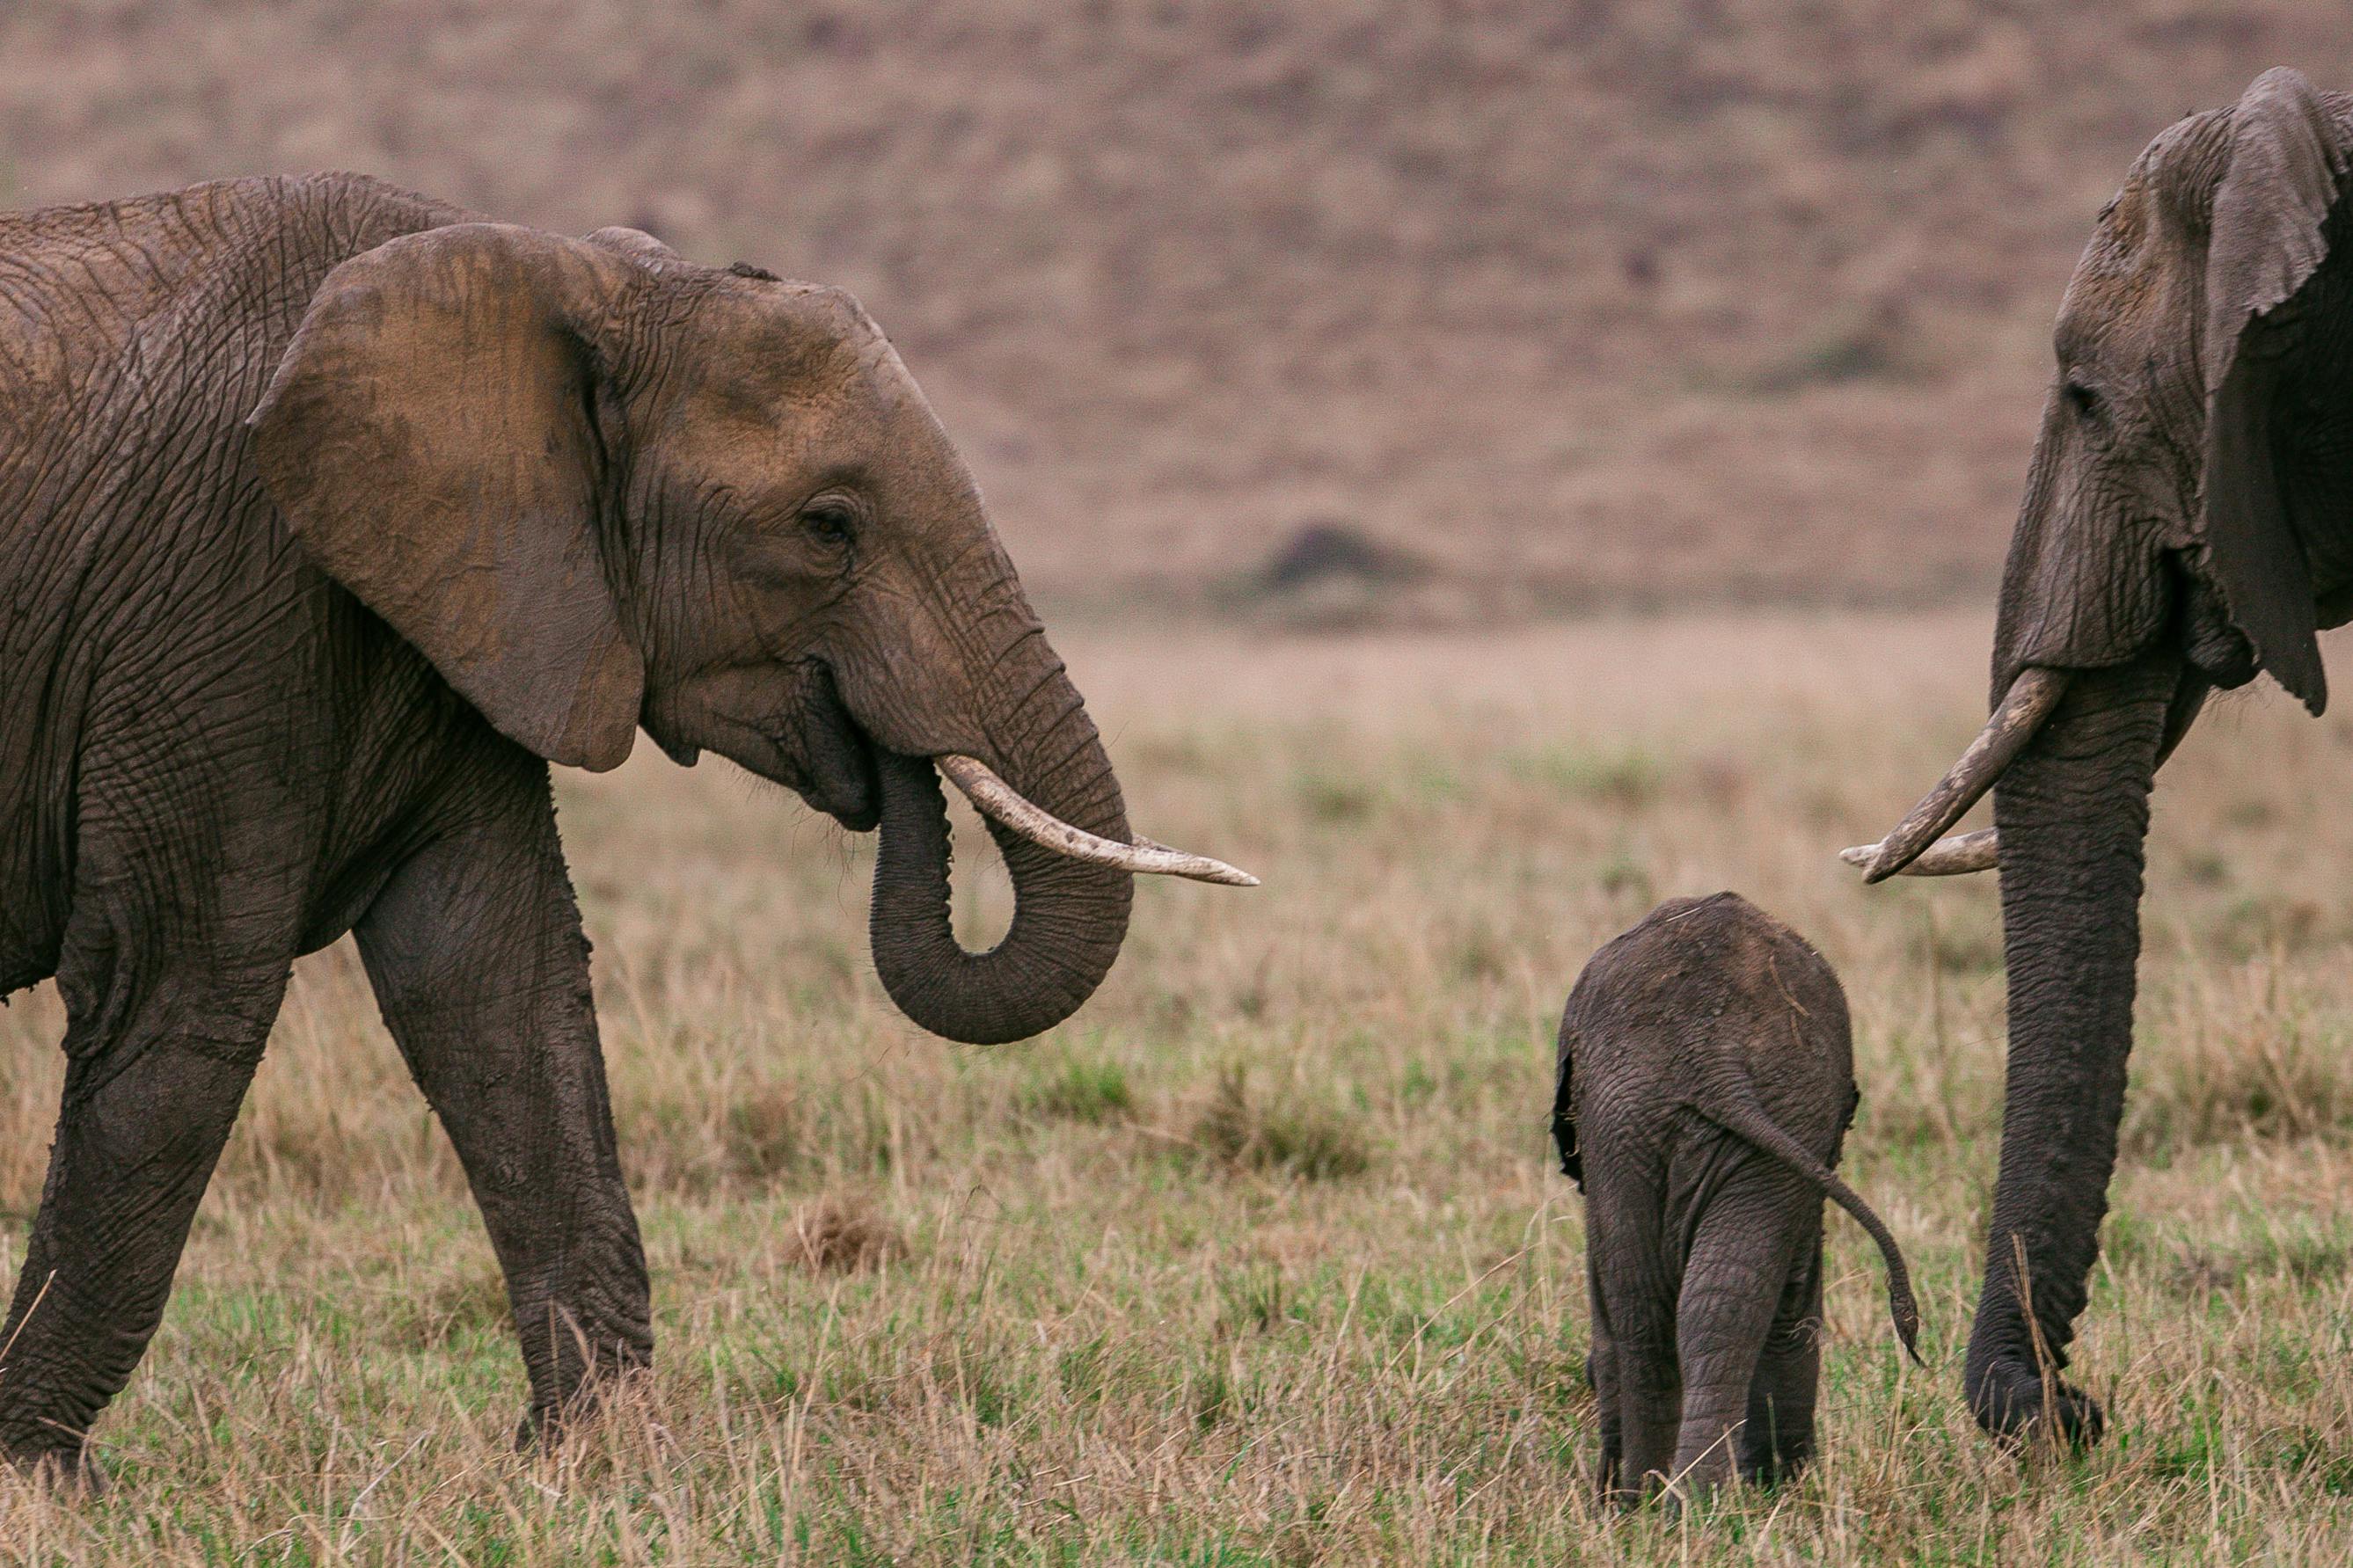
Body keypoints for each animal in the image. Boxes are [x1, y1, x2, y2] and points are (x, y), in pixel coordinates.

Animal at [0, 173, 1251, 1474]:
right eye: (827, 526)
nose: (885, 753)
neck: (569, 281)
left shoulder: (488, 598)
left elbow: (496, 988)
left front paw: (597, 1464)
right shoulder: (214, 597)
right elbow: (182, 1000)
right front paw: (39, 1475)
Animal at [1553, 893, 1920, 1502]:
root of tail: (1713, 1059)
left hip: (1636, 1119)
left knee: (1650, 1310)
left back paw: (1653, 1498)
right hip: (1764, 1107)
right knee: (1703, 1305)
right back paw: (1689, 1498)